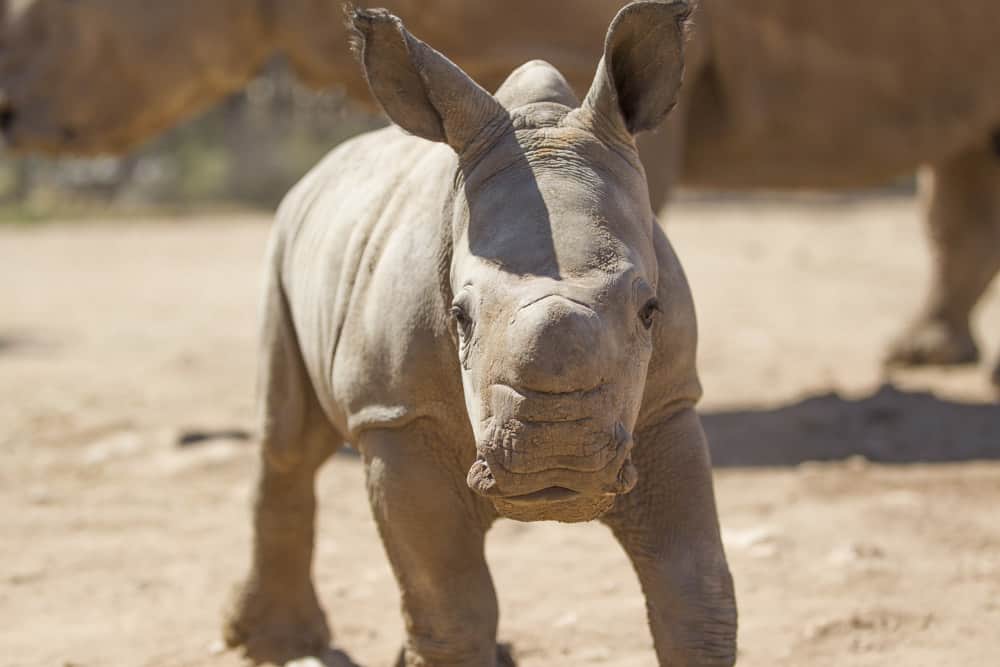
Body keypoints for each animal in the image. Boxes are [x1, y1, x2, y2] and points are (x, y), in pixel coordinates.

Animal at [221, 3, 736, 665]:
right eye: (459, 317)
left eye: (651, 310)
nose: (556, 465)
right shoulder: (395, 415)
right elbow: (451, 606)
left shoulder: (669, 402)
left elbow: (697, 592)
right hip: (286, 237)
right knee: (288, 442)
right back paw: (275, 646)